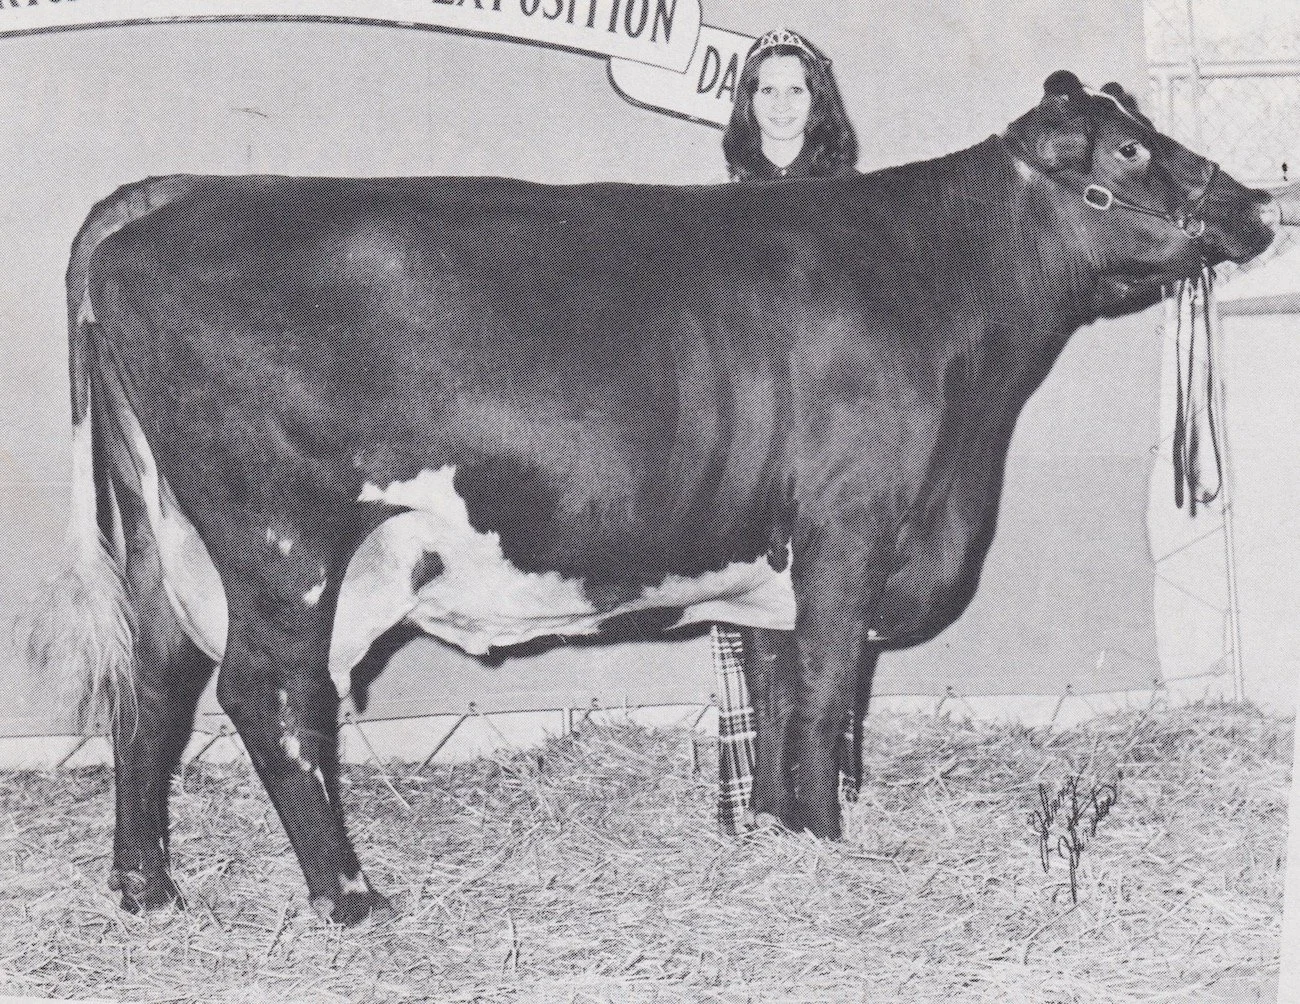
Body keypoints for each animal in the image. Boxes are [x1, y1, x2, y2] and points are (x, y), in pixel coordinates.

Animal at [27, 70, 1279, 925]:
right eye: (1131, 145)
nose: (1258, 205)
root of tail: (170, 194)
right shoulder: (847, 526)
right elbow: (824, 694)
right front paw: (823, 840)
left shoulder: (773, 555)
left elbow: (775, 691)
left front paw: (775, 828)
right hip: (281, 540)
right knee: (269, 694)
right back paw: (350, 894)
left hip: (167, 538)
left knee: (152, 681)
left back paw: (146, 883)